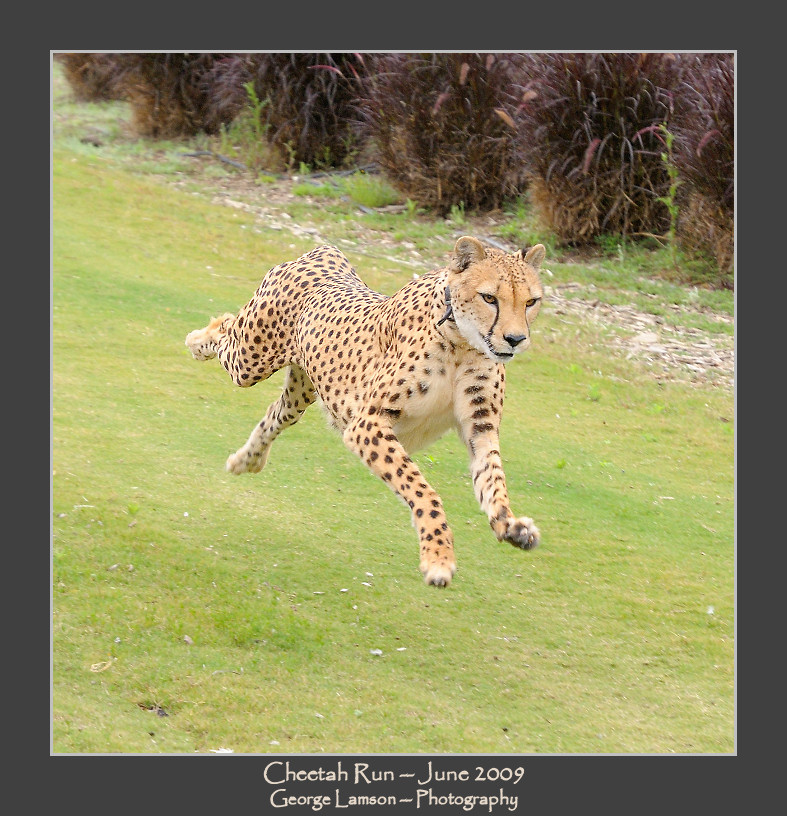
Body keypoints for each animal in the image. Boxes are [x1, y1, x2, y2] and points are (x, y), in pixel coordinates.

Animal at [185, 236, 546, 587]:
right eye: (489, 298)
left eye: (531, 302)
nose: (515, 339)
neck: (463, 342)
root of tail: (325, 252)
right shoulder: (366, 424)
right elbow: (422, 490)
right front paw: (438, 558)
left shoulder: (480, 426)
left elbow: (492, 478)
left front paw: (510, 525)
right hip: (250, 360)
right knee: (227, 327)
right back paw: (196, 341)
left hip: (303, 390)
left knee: (277, 412)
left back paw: (246, 460)